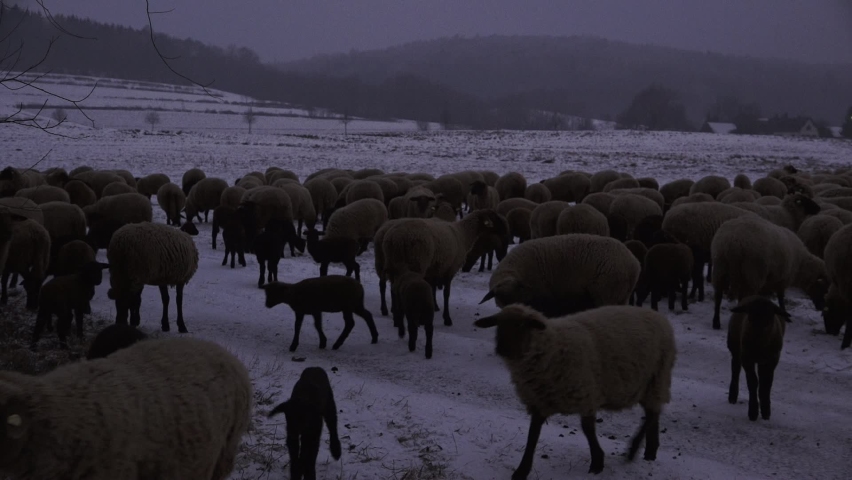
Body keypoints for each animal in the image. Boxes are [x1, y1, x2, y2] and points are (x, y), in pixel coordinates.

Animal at [474, 304, 675, 477]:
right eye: (498, 324)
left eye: (522, 324)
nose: (501, 349)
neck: (551, 347)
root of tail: (658, 316)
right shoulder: (539, 400)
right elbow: (533, 435)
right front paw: (521, 471)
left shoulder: (585, 394)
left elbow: (587, 429)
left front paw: (597, 463)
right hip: (651, 384)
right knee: (654, 414)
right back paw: (650, 451)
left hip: (657, 378)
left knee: (651, 415)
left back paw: (633, 451)